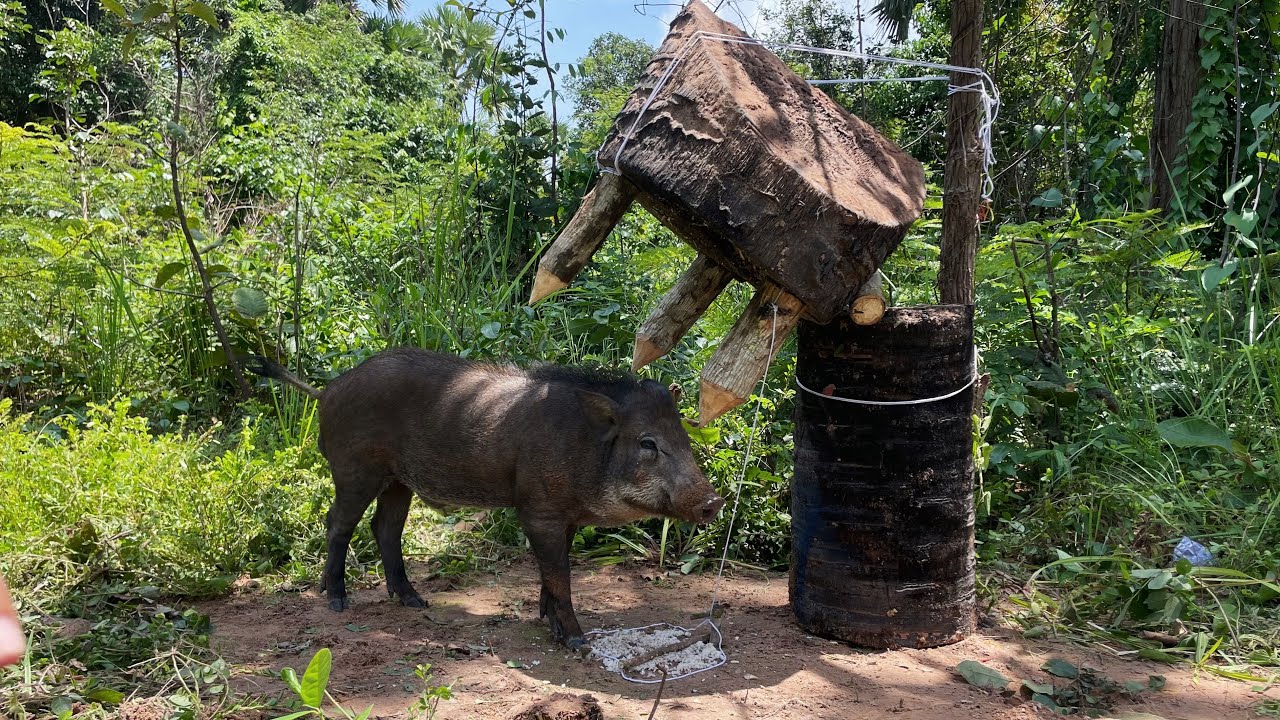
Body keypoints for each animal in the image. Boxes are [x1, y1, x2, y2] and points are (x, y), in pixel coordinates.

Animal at [247, 348, 724, 648]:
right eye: (647, 443)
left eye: (684, 438)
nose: (714, 502)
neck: (587, 445)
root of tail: (327, 389)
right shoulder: (538, 511)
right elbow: (561, 576)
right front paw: (577, 642)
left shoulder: (564, 516)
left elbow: (552, 575)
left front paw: (548, 624)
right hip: (355, 471)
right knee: (339, 523)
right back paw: (336, 601)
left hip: (399, 481)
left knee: (384, 528)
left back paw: (415, 601)